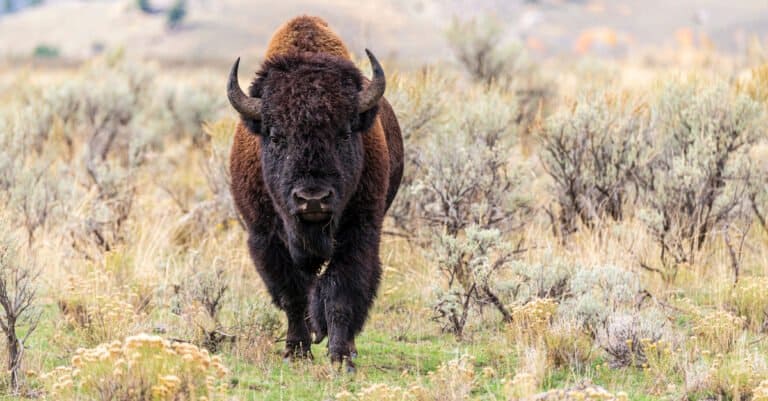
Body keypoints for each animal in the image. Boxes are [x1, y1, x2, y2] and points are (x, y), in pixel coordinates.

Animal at [227, 15, 403, 370]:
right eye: (276, 136)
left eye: (344, 133)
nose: (313, 199)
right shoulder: (265, 239)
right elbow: (292, 294)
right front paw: (296, 349)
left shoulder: (359, 234)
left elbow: (340, 291)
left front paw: (340, 356)